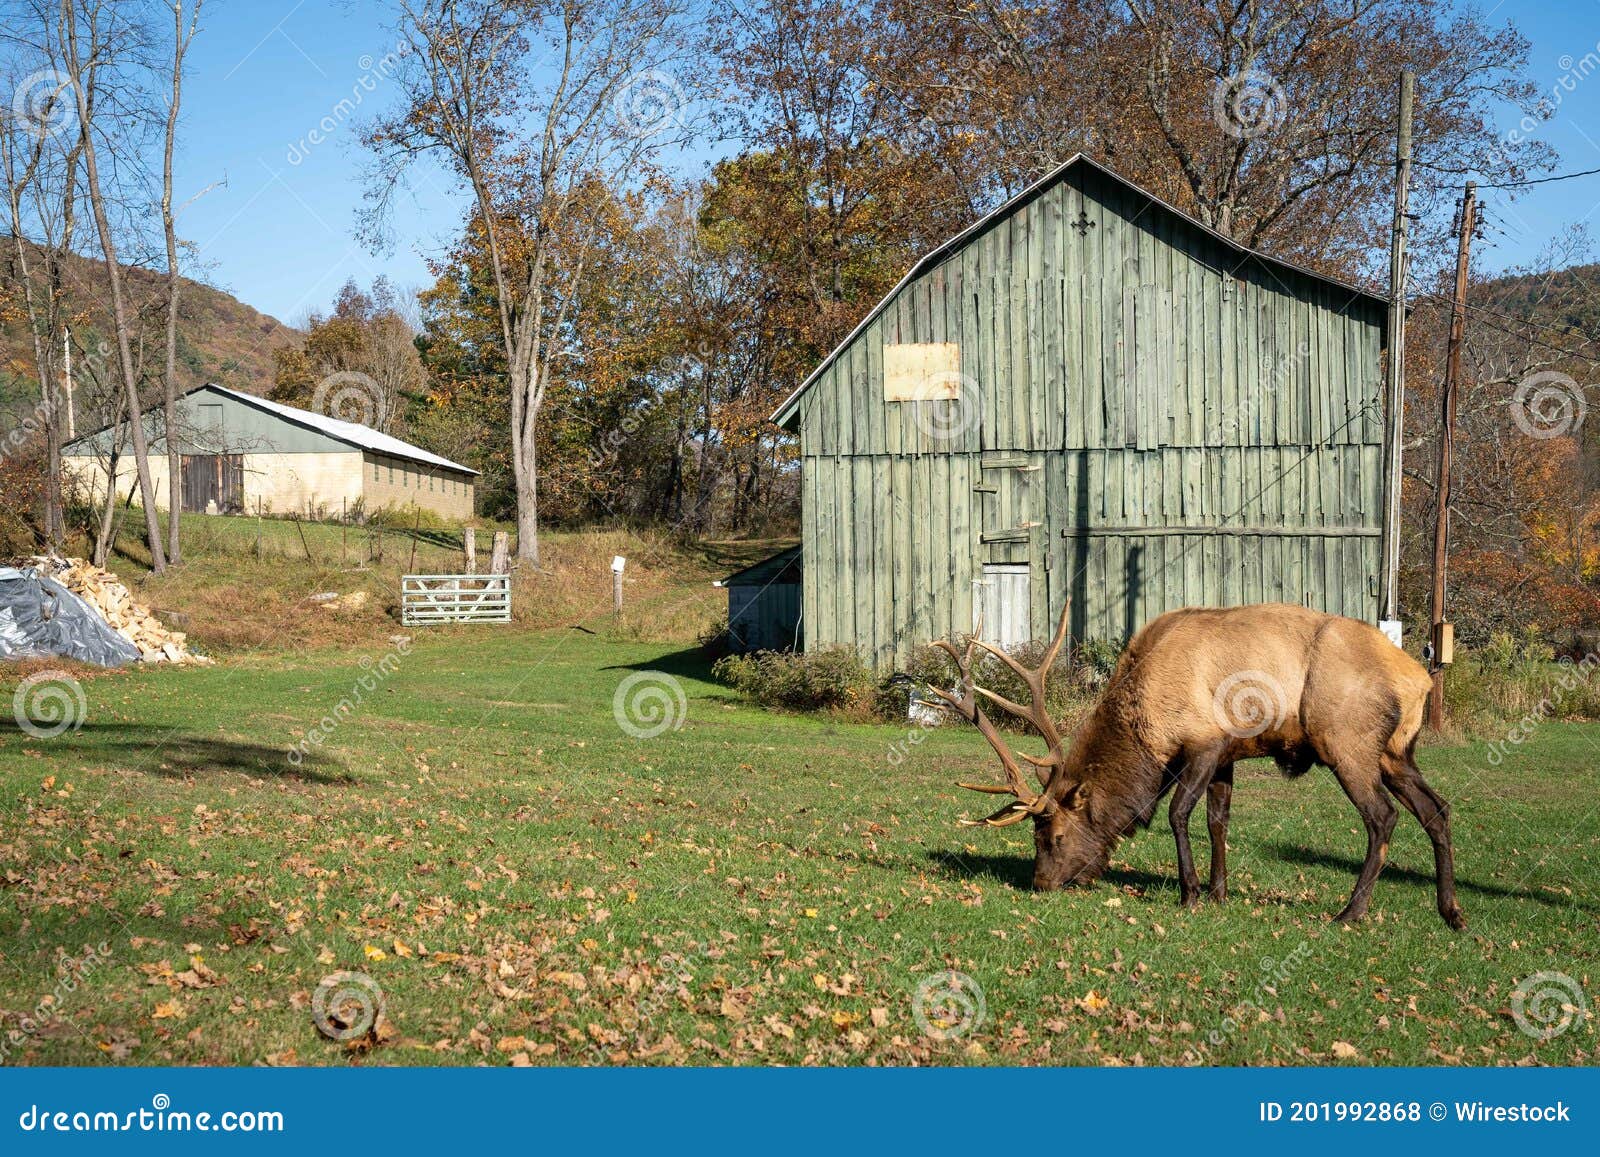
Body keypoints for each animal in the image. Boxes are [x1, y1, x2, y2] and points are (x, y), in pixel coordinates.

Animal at [927, 600, 1465, 929]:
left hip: (1346, 741)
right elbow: (1217, 821)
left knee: (1382, 817)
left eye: (1054, 836)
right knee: (1437, 809)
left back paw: (1350, 913)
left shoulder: (1204, 741)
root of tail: (1420, 680)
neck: (1147, 726)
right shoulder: (1228, 755)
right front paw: (1219, 892)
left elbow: (1178, 813)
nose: (1040, 883)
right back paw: (1451, 911)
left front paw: (1189, 893)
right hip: (1396, 752)